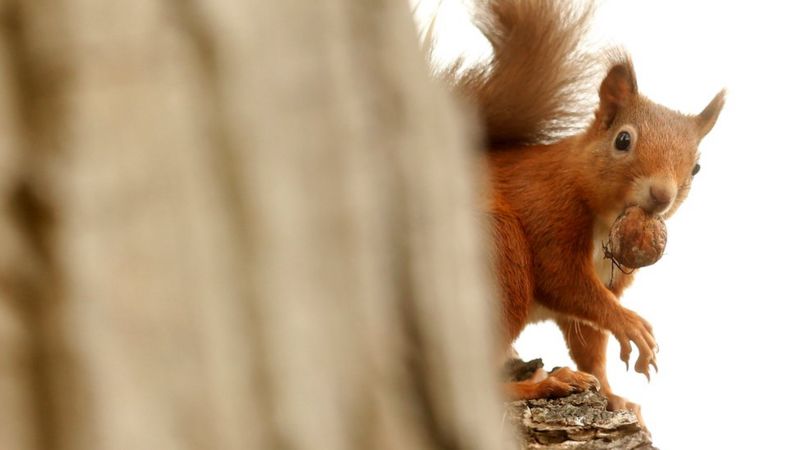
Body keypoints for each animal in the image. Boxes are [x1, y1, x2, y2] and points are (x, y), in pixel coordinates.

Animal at [438, 0, 725, 415]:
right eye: (623, 140)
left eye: (697, 167)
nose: (662, 195)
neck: (605, 218)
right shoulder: (547, 206)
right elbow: (565, 281)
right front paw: (630, 324)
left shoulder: (610, 279)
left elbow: (590, 342)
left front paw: (612, 394)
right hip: (496, 253)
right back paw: (541, 386)